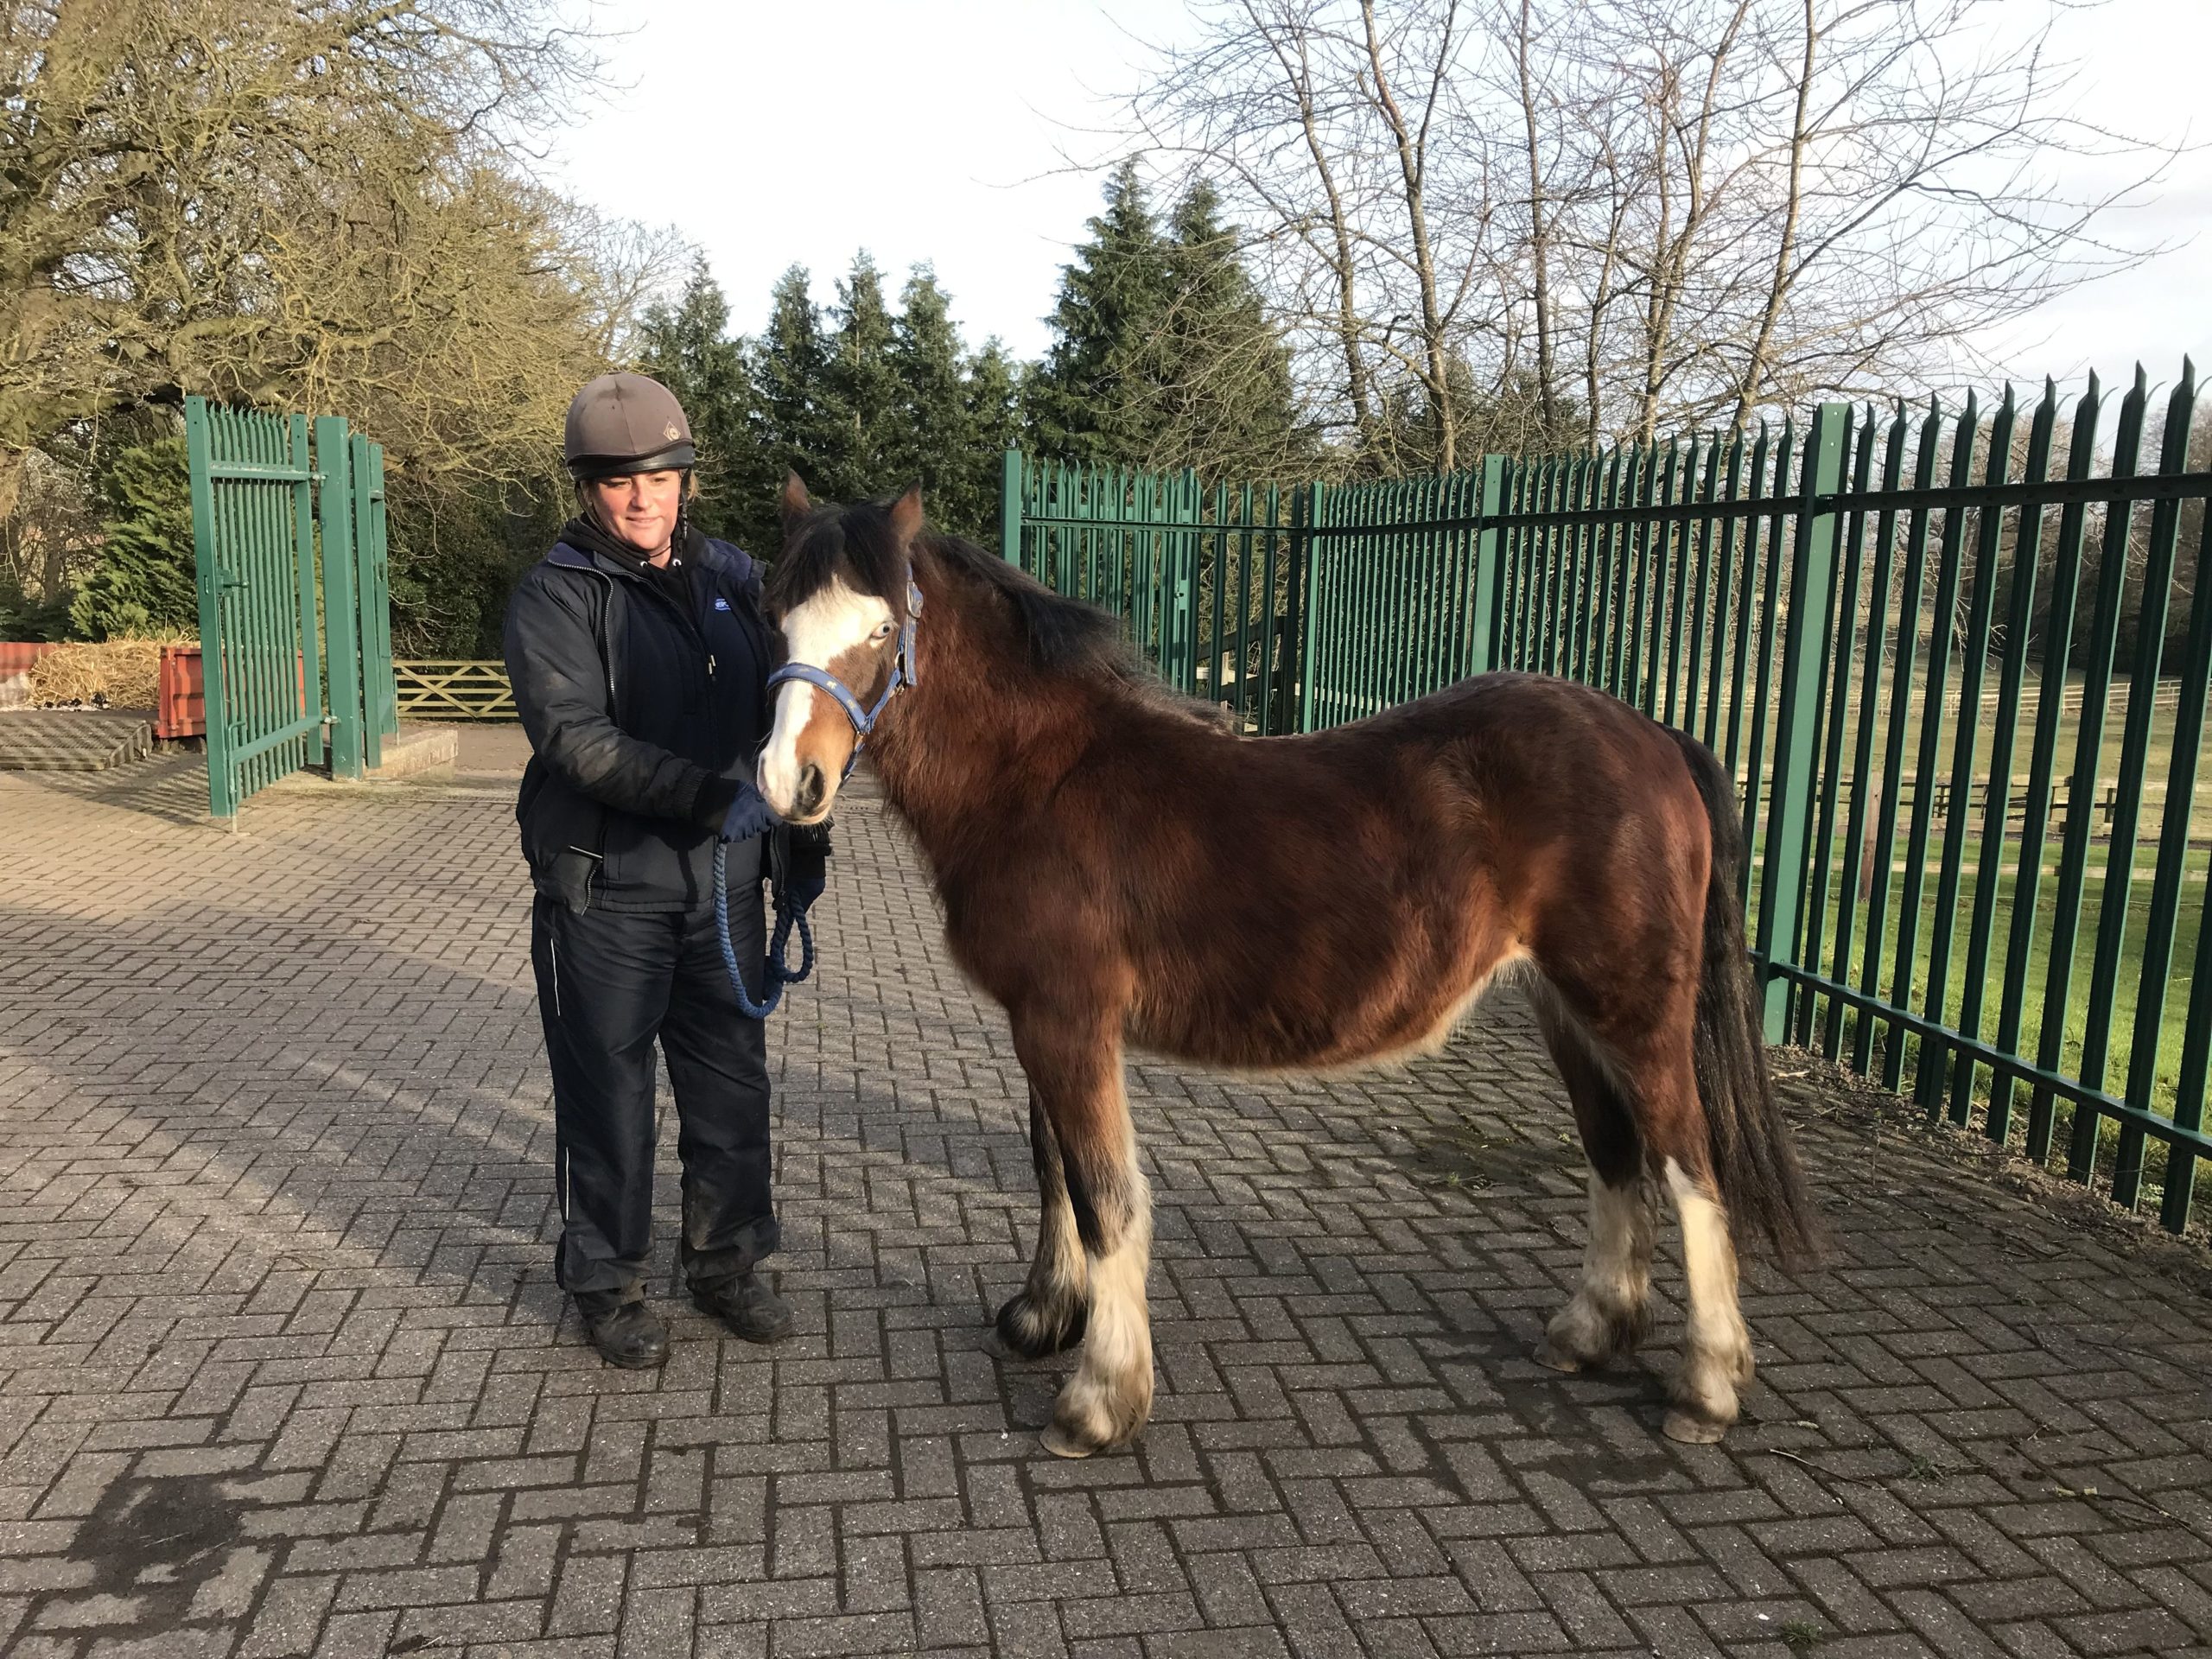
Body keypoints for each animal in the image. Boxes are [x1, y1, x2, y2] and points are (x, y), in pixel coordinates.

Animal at [756, 477, 1817, 1458]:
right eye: (776, 618)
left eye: (882, 626)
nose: (788, 784)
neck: (1041, 780)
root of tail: (1653, 737)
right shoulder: (1039, 1022)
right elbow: (1054, 1168)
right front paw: (1046, 1319)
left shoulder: (1066, 1022)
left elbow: (1106, 1197)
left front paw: (1099, 1401)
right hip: (1569, 1009)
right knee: (1614, 1151)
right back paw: (1591, 1332)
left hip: (1634, 1011)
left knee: (1690, 1164)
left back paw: (1706, 1389)